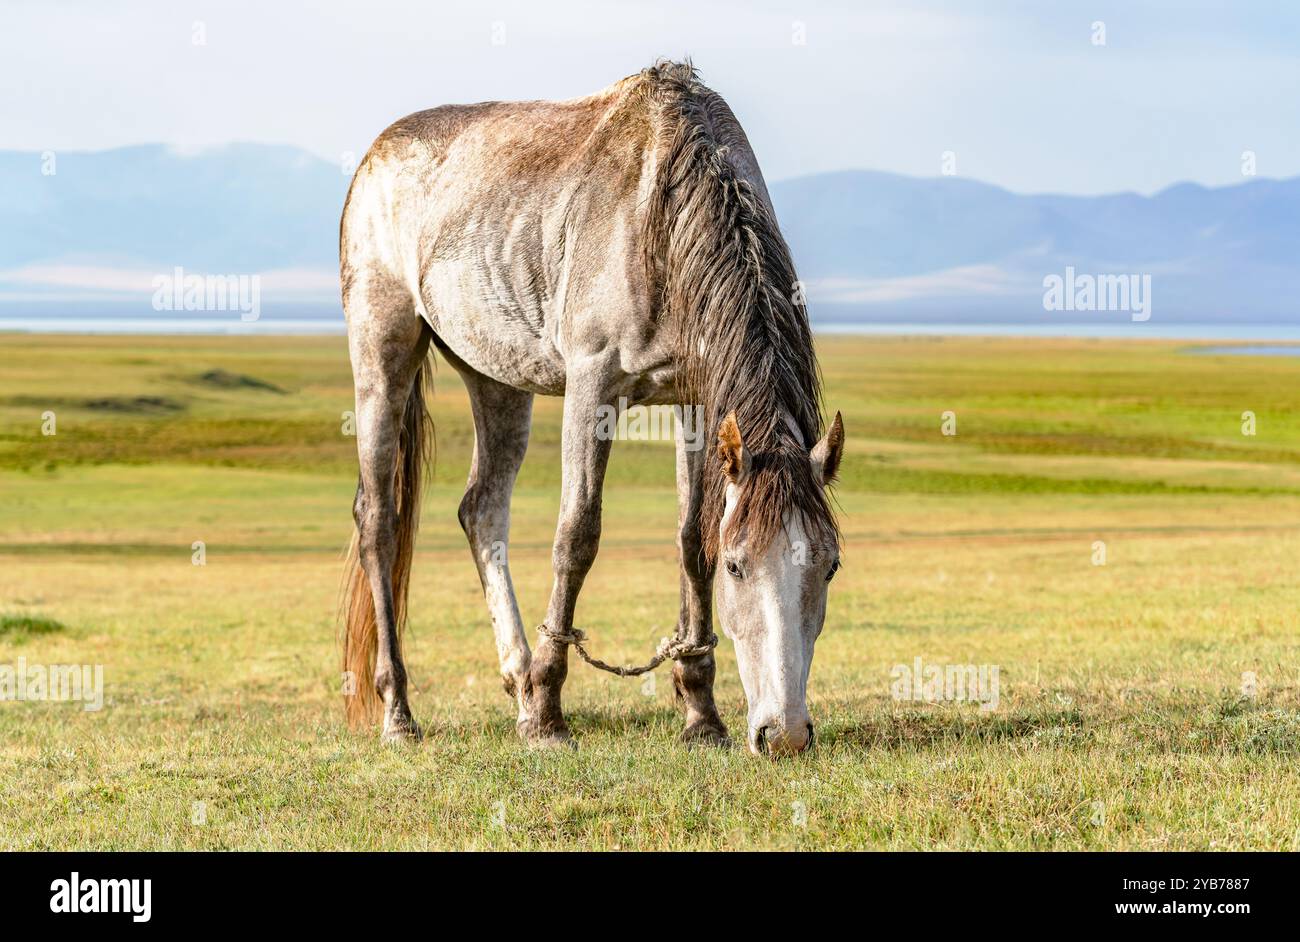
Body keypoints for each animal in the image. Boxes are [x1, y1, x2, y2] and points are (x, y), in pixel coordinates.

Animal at [339, 61, 845, 757]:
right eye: (739, 568)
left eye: (830, 565)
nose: (787, 734)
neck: (663, 212)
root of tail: (374, 155)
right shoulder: (592, 385)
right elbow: (576, 535)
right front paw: (551, 716)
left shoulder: (695, 401)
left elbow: (691, 539)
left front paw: (700, 713)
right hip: (382, 353)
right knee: (378, 521)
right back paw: (403, 711)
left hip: (496, 377)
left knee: (481, 510)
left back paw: (518, 684)